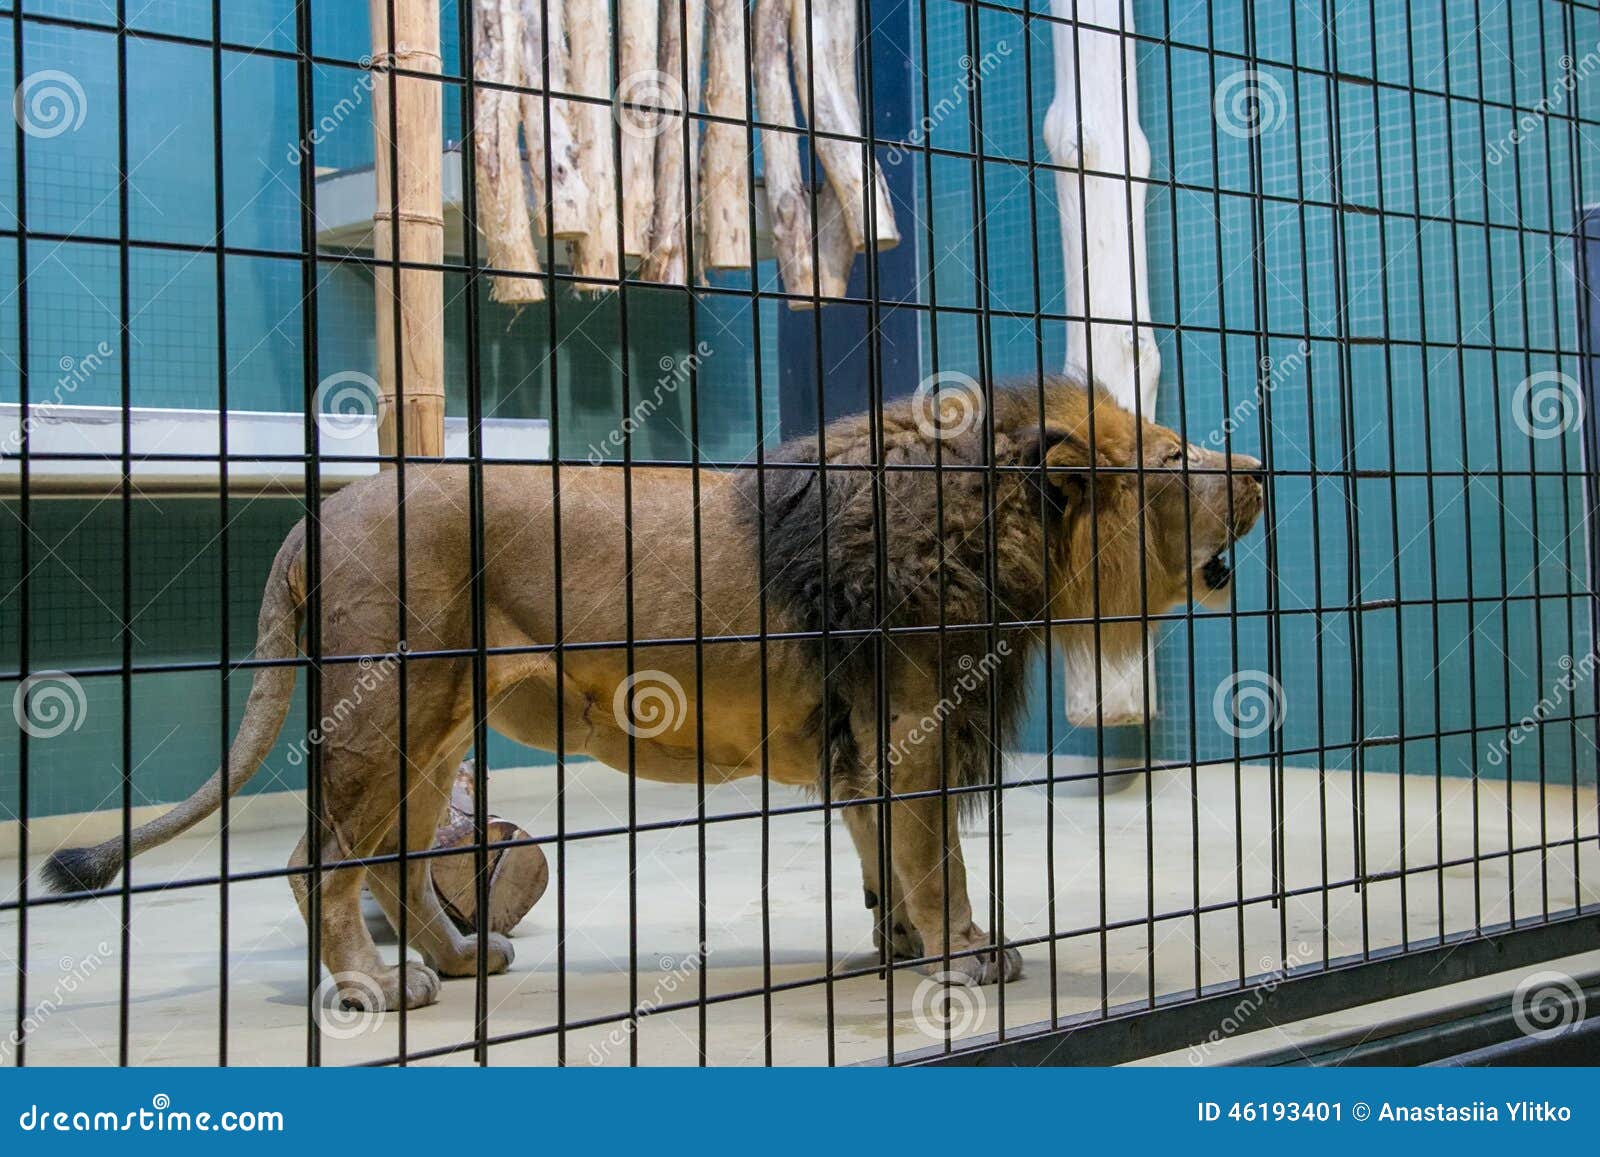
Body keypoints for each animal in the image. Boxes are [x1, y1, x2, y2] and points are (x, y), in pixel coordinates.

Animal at [42, 377, 1263, 1012]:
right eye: (1174, 459)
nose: (1256, 470)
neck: (995, 532)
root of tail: (321, 511)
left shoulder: (859, 738)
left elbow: (883, 853)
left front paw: (898, 944)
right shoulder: (909, 722)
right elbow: (935, 854)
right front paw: (966, 951)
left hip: (434, 724)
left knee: (392, 856)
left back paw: (463, 960)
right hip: (387, 708)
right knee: (321, 860)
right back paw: (369, 986)